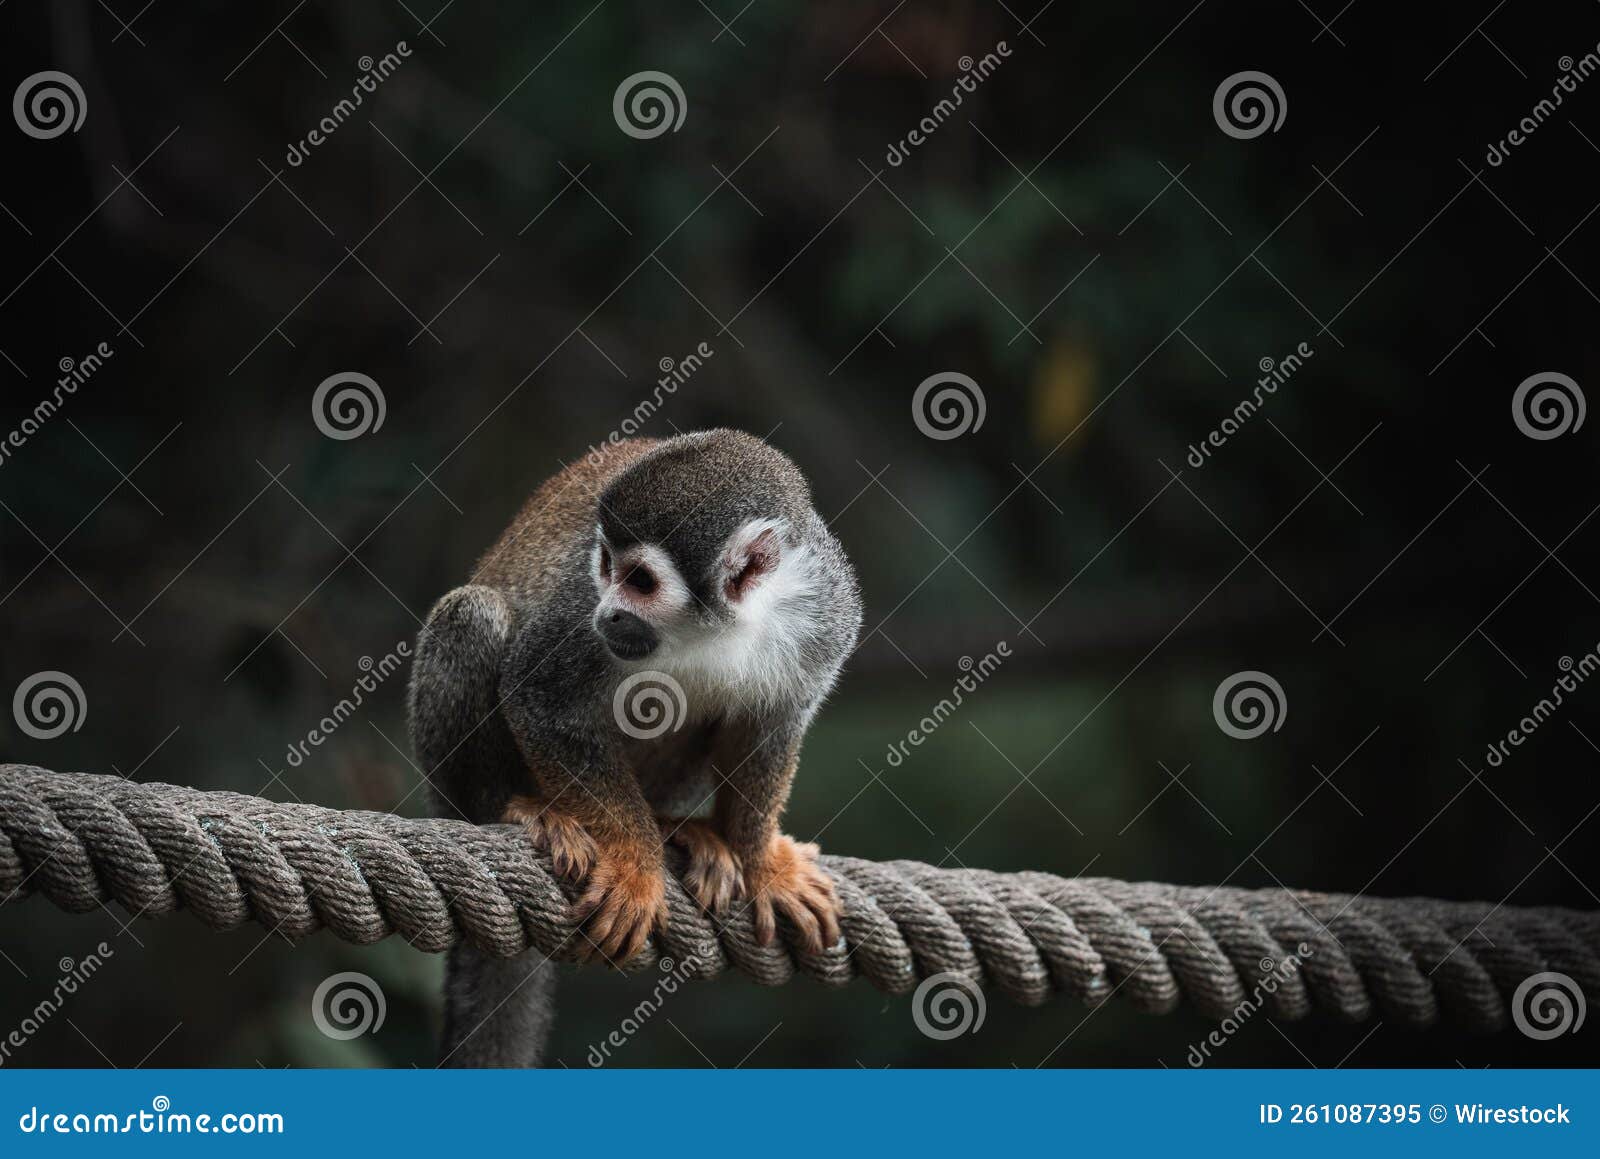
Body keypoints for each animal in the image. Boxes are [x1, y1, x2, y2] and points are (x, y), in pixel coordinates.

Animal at [406, 429, 861, 1067]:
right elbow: (540, 696)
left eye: (642, 581)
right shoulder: (578, 608)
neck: (717, 628)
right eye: (605, 567)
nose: (610, 611)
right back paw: (519, 809)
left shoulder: (825, 617)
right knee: (473, 614)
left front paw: (762, 860)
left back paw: (676, 827)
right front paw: (634, 862)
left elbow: (771, 729)